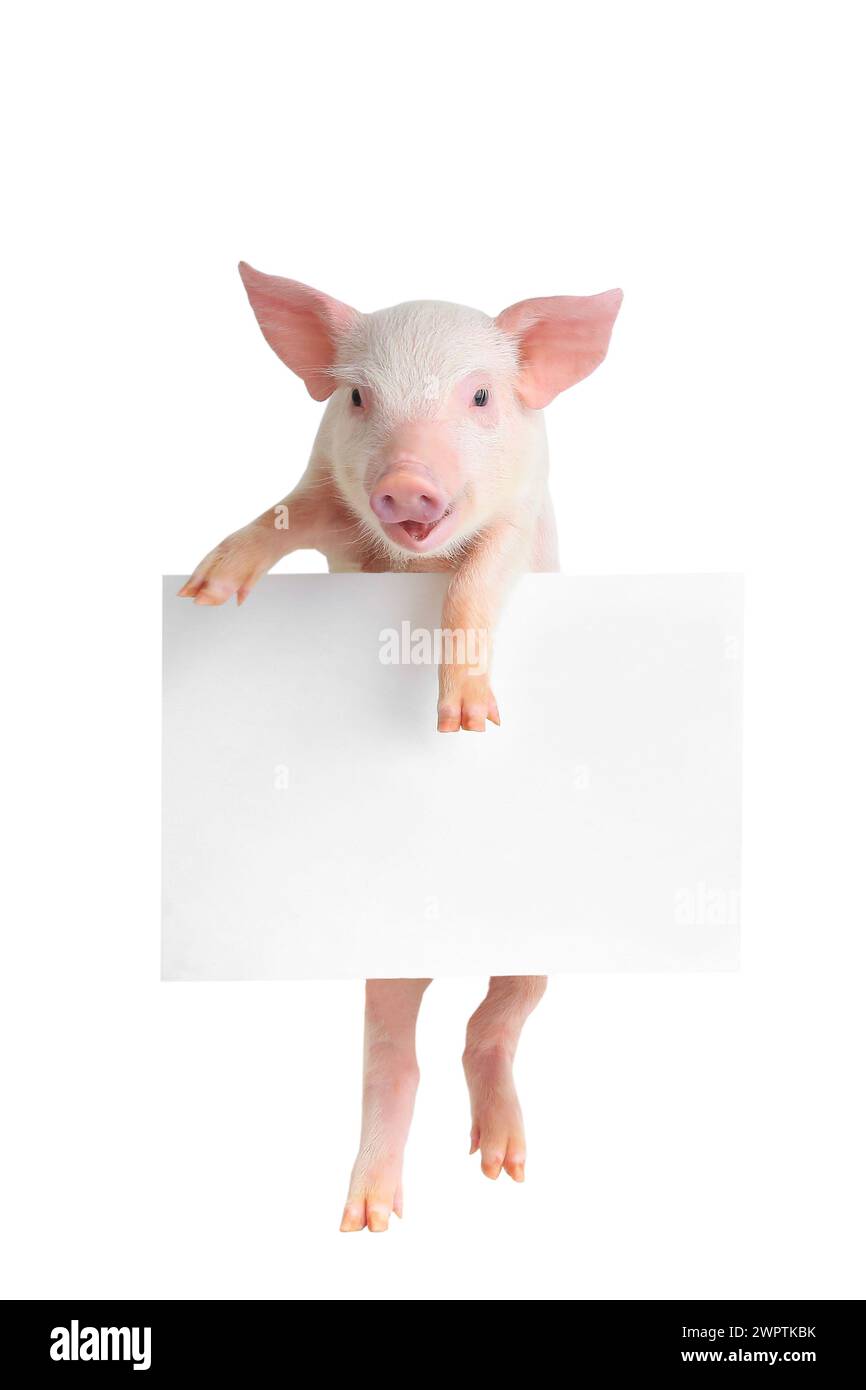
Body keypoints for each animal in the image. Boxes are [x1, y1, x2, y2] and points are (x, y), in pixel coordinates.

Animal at [179, 263, 622, 1230]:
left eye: (481, 396)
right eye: (357, 396)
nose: (409, 483)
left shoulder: (519, 519)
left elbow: (478, 583)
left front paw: (465, 725)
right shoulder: (326, 493)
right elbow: (287, 514)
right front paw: (204, 593)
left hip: (540, 947)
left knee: (492, 1023)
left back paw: (503, 1170)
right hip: (382, 966)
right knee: (396, 1056)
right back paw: (368, 1218)